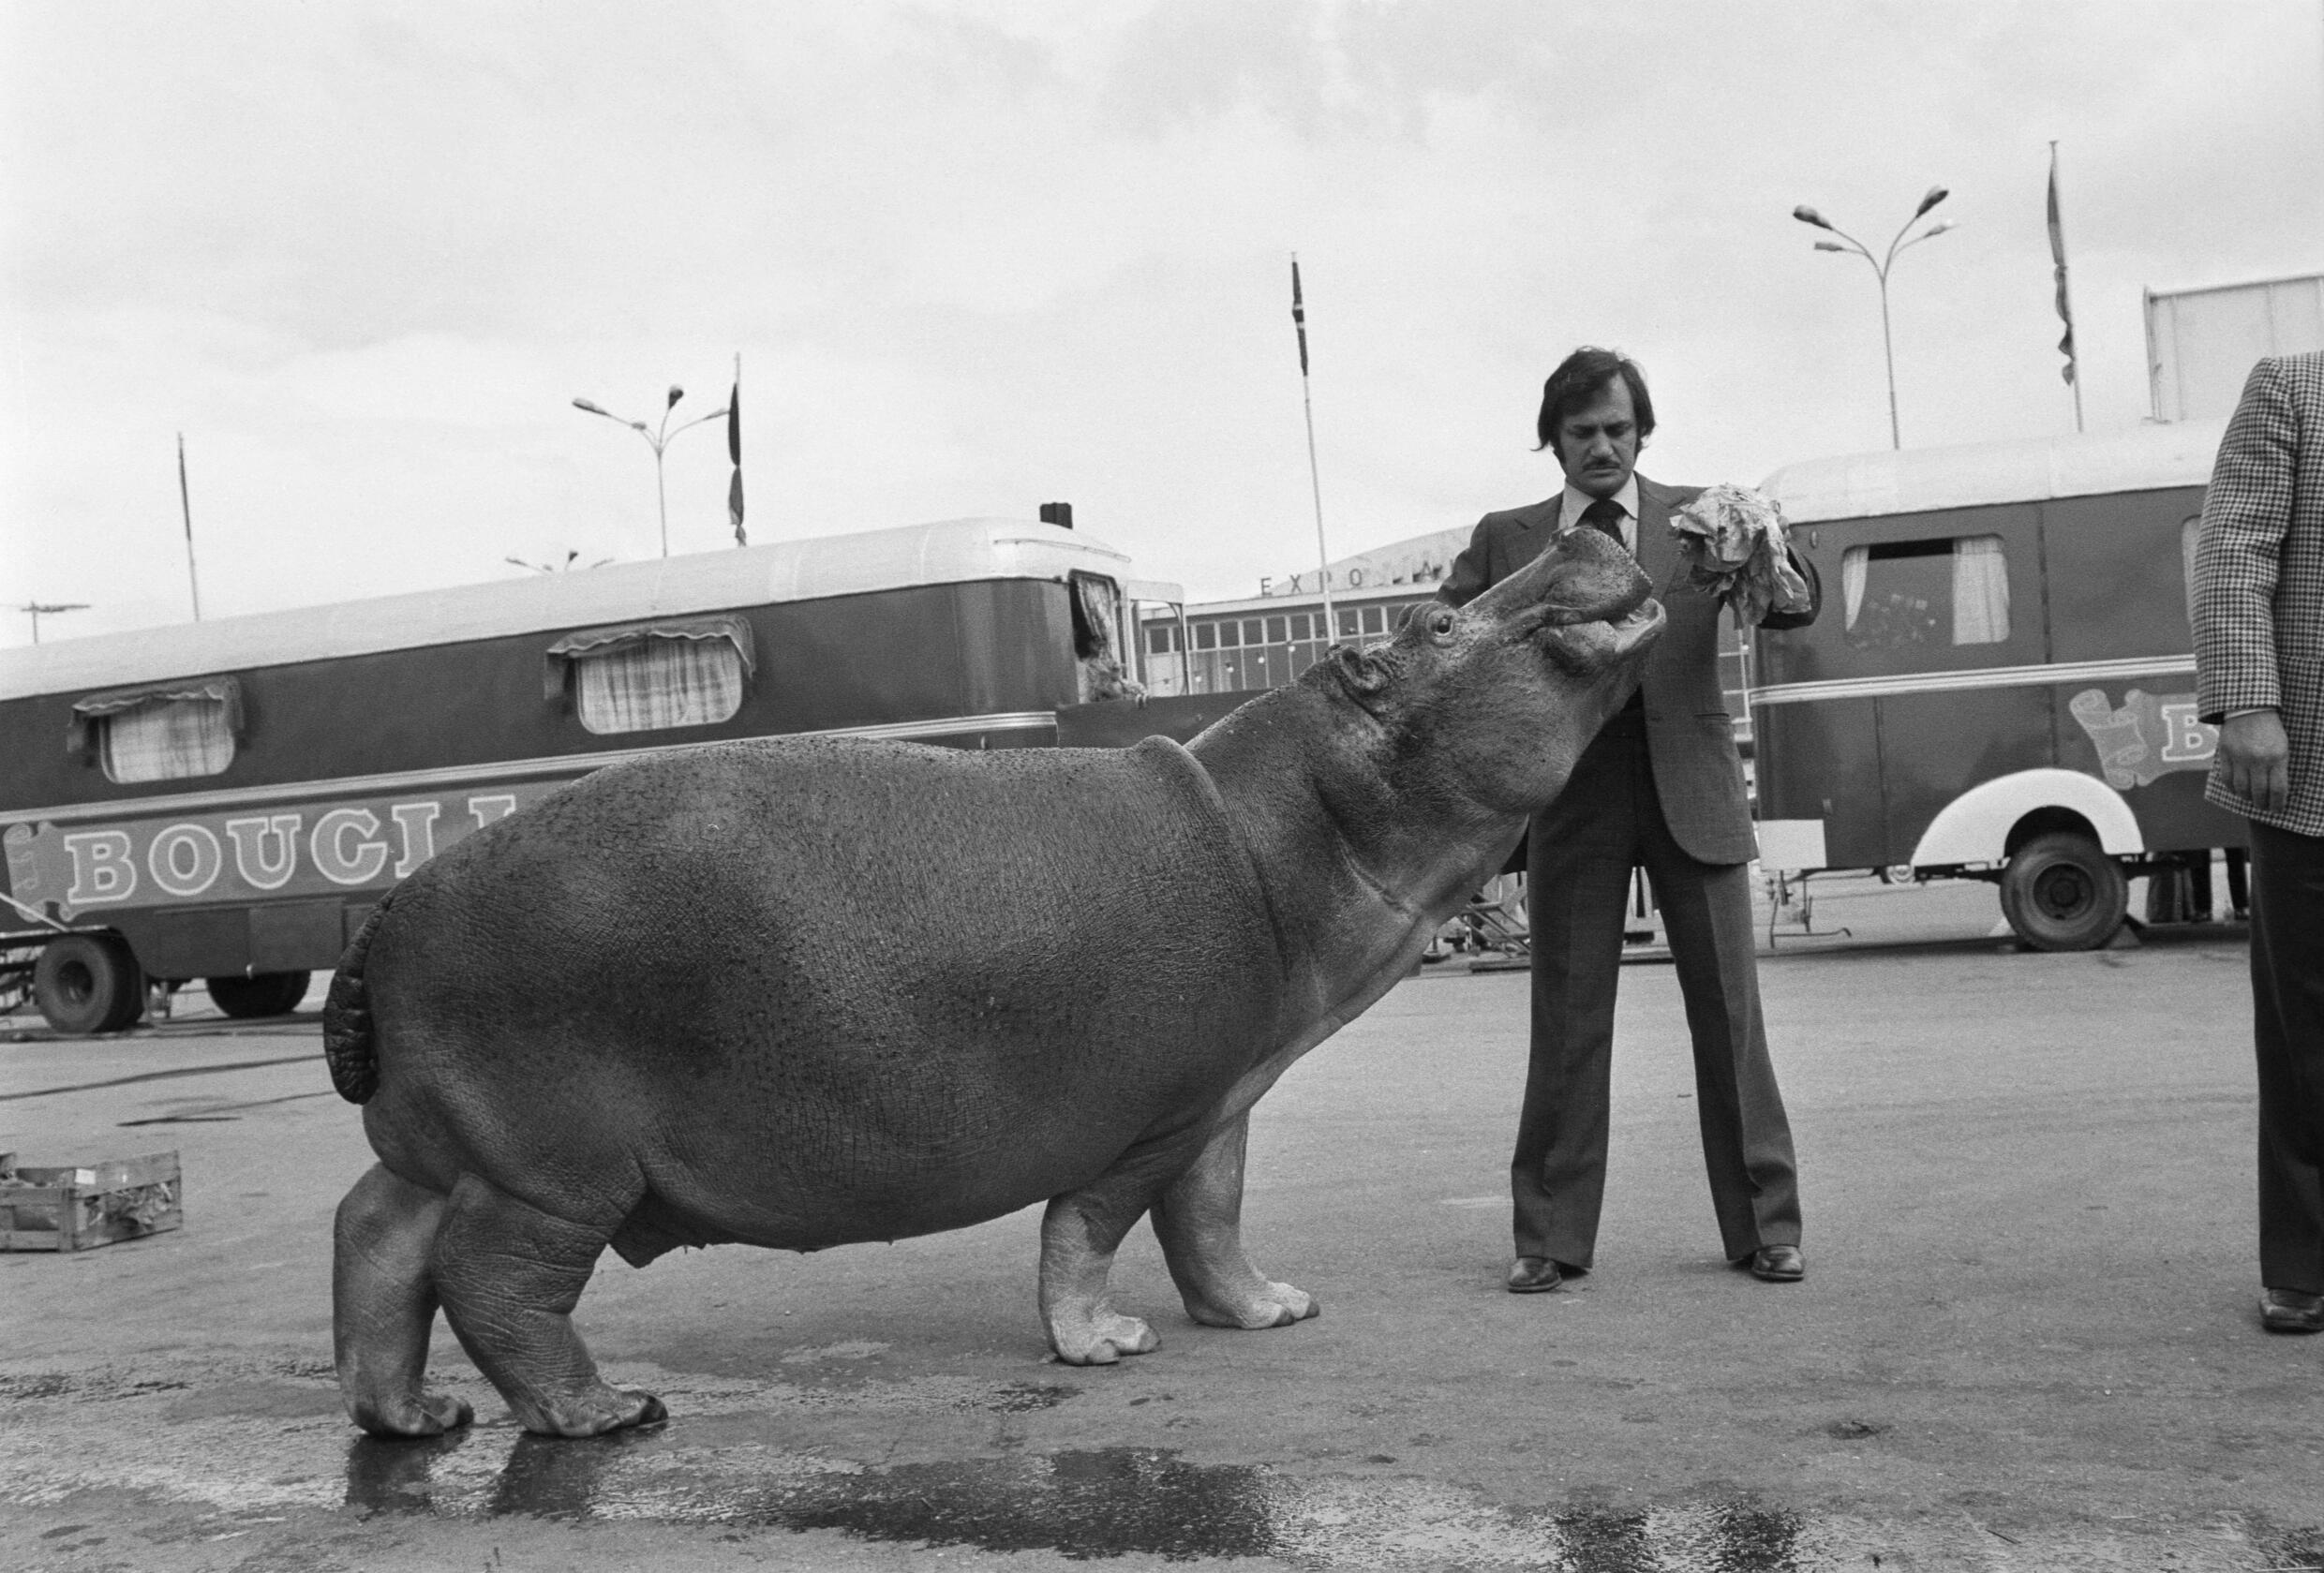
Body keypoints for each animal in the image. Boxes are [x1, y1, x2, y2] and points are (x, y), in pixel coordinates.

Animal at [325, 527, 1662, 1438]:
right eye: (1435, 623)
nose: (1576, 529)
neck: (1293, 812)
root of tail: (395, 897)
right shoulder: (1149, 1114)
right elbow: (1092, 1222)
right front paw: (1104, 1344)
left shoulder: (1225, 1090)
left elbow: (1210, 1216)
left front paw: (1270, 1307)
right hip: (554, 1167)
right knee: (490, 1278)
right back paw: (606, 1414)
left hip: (457, 1145)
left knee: (377, 1237)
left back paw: (413, 1419)